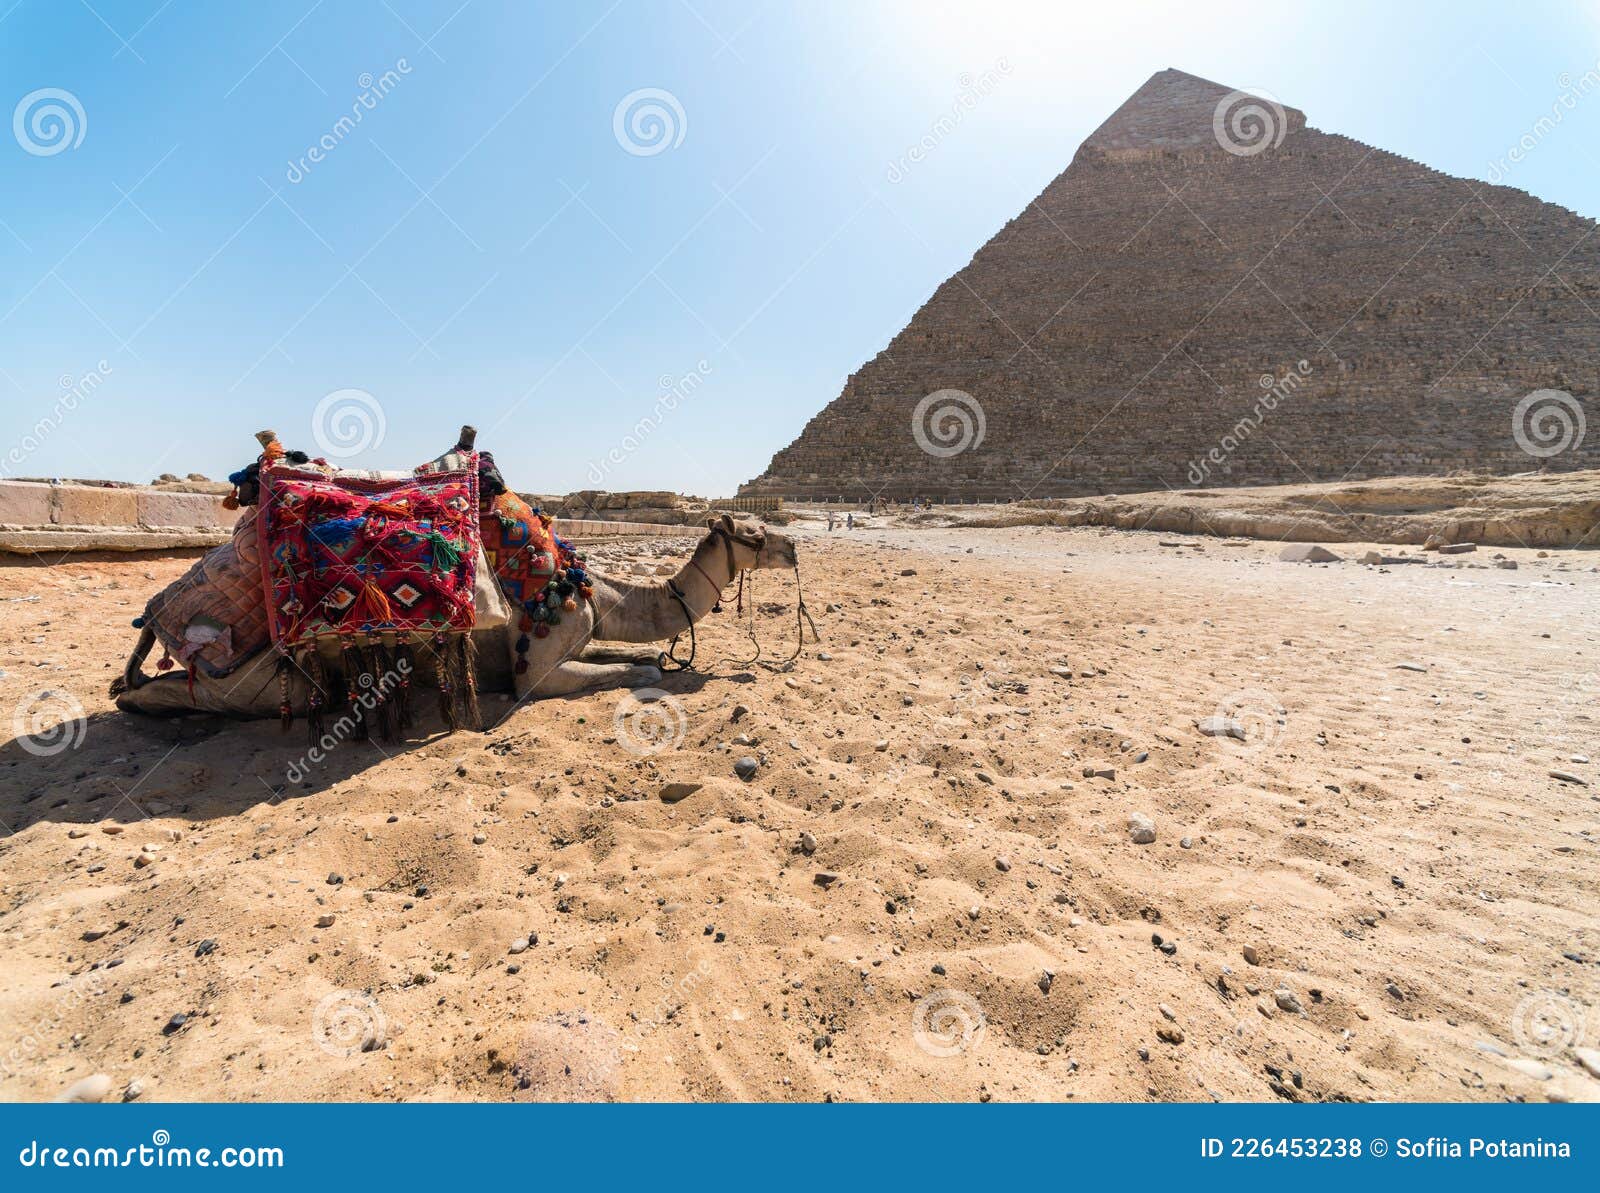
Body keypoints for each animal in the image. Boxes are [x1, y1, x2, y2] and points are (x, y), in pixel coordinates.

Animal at [111, 437, 799, 725]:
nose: (793, 548)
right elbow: (638, 670)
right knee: (172, 695)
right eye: (755, 534)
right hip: (260, 680)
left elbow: (642, 657)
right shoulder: (537, 668)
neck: (593, 590)